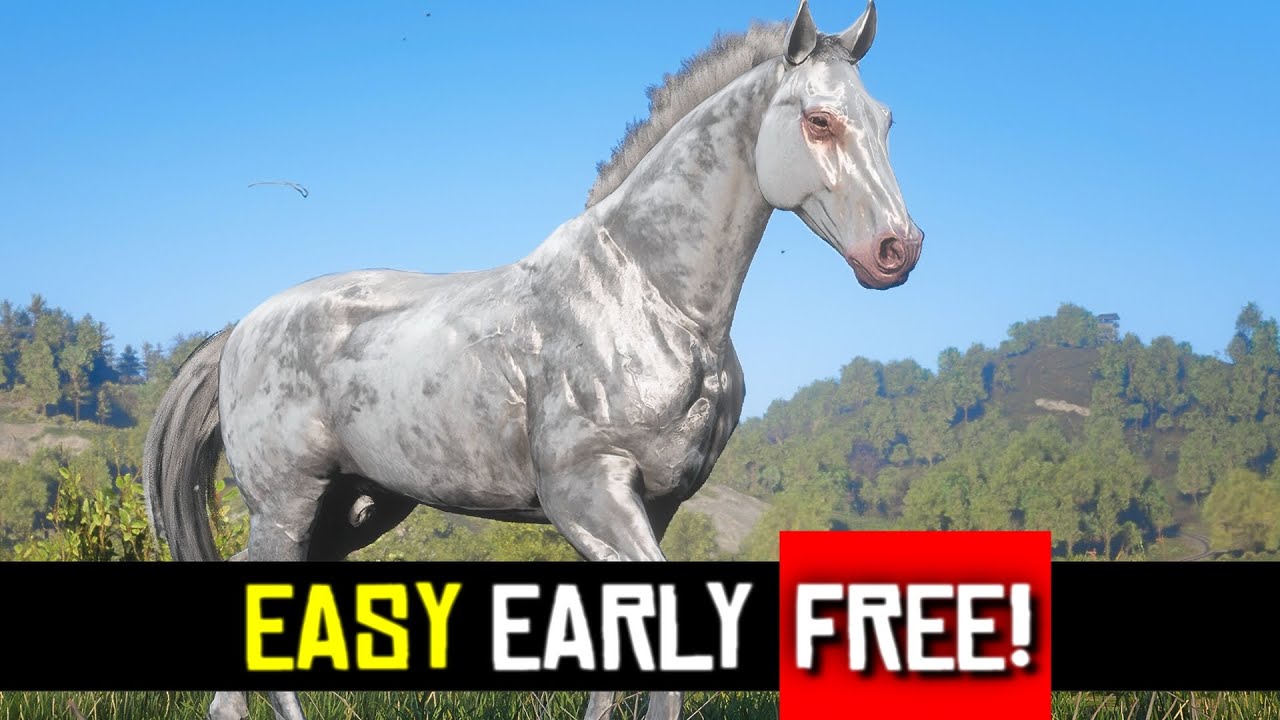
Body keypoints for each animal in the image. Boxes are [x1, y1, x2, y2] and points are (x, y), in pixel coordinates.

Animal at [142, 1, 923, 718]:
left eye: (886, 120)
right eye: (819, 121)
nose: (898, 250)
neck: (653, 297)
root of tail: (240, 332)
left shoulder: (659, 504)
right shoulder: (587, 495)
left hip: (352, 508)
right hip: (287, 504)